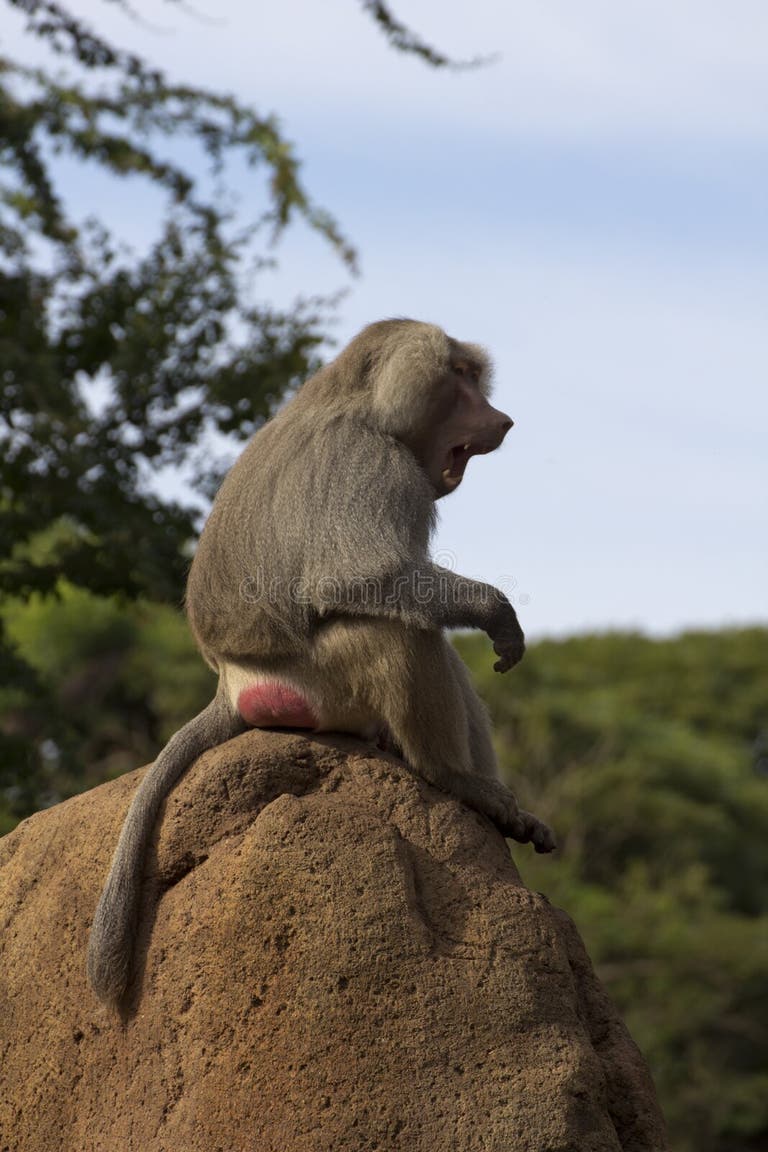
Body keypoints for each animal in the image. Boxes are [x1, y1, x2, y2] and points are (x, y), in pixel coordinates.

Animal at [87, 318, 555, 1007]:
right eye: (461, 377)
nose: (503, 419)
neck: (362, 407)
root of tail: (230, 682)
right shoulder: (374, 466)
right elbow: (356, 579)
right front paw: (496, 611)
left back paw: (505, 814)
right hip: (315, 686)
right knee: (399, 635)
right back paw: (453, 778)